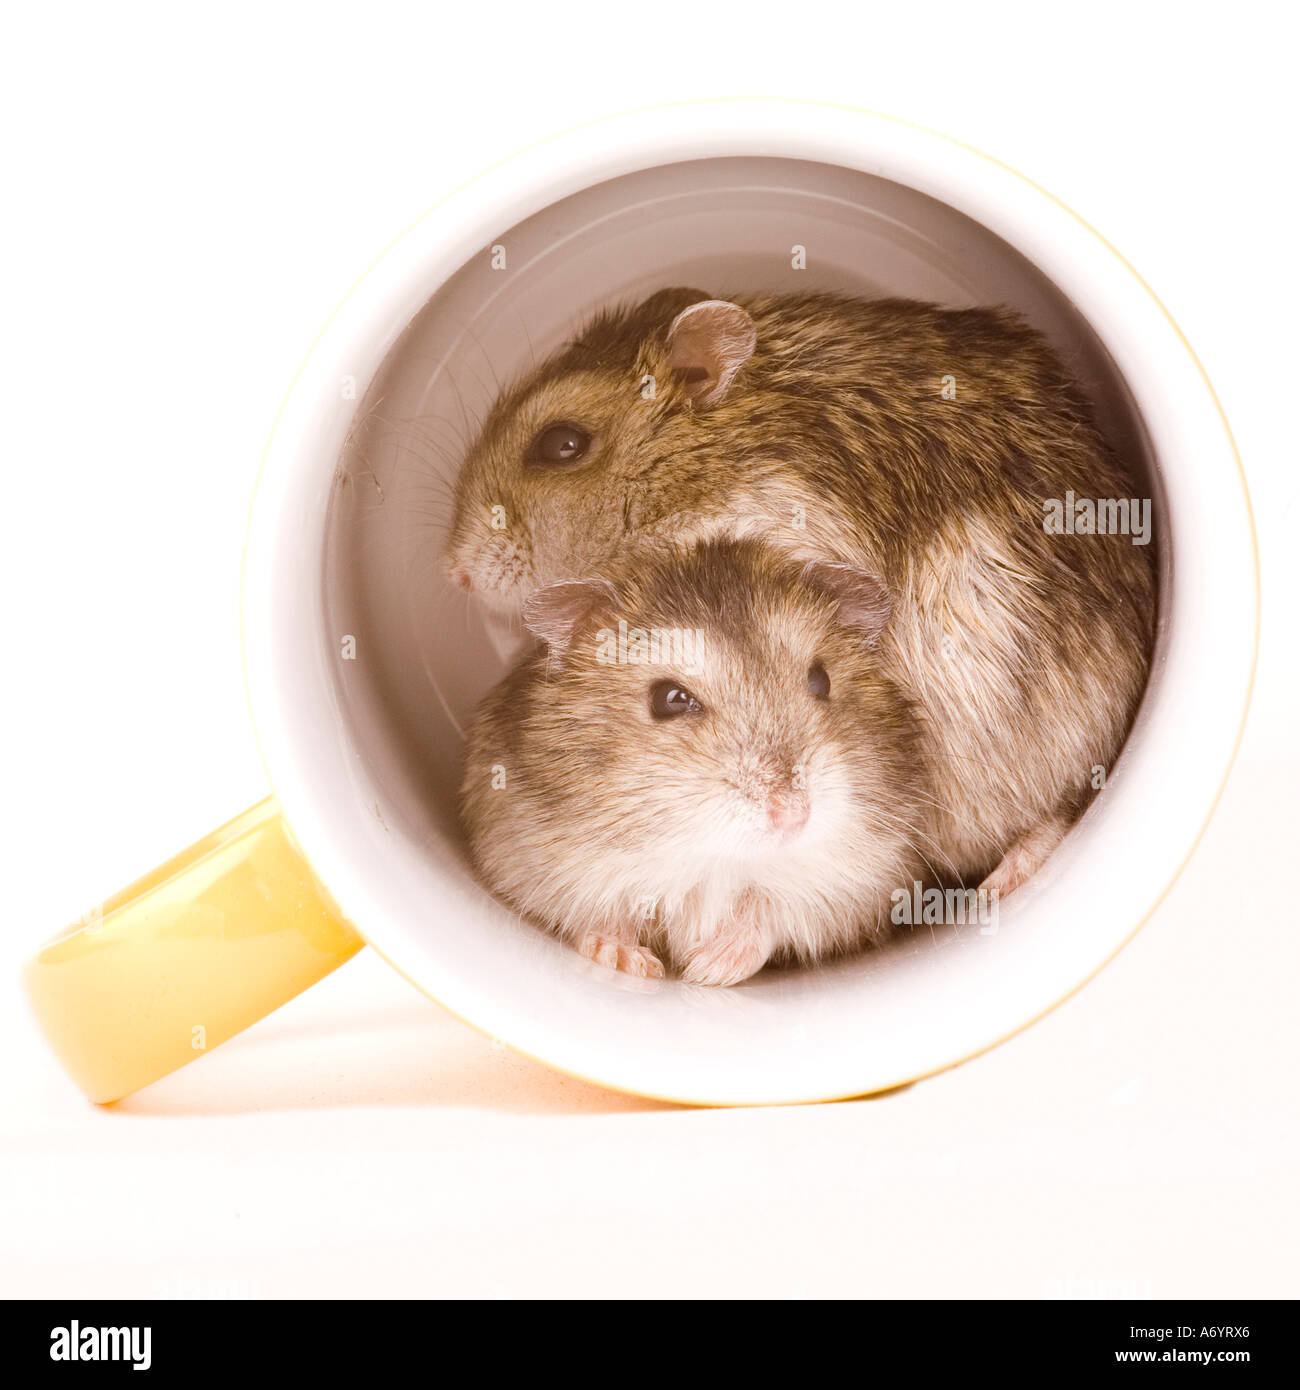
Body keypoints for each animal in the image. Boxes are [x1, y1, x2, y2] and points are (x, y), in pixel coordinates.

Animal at [461, 539, 936, 986]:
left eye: (821, 680)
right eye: (669, 699)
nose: (793, 816)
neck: (712, 857)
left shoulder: (861, 880)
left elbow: (769, 910)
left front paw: (706, 969)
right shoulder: (541, 860)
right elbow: (603, 914)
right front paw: (630, 963)